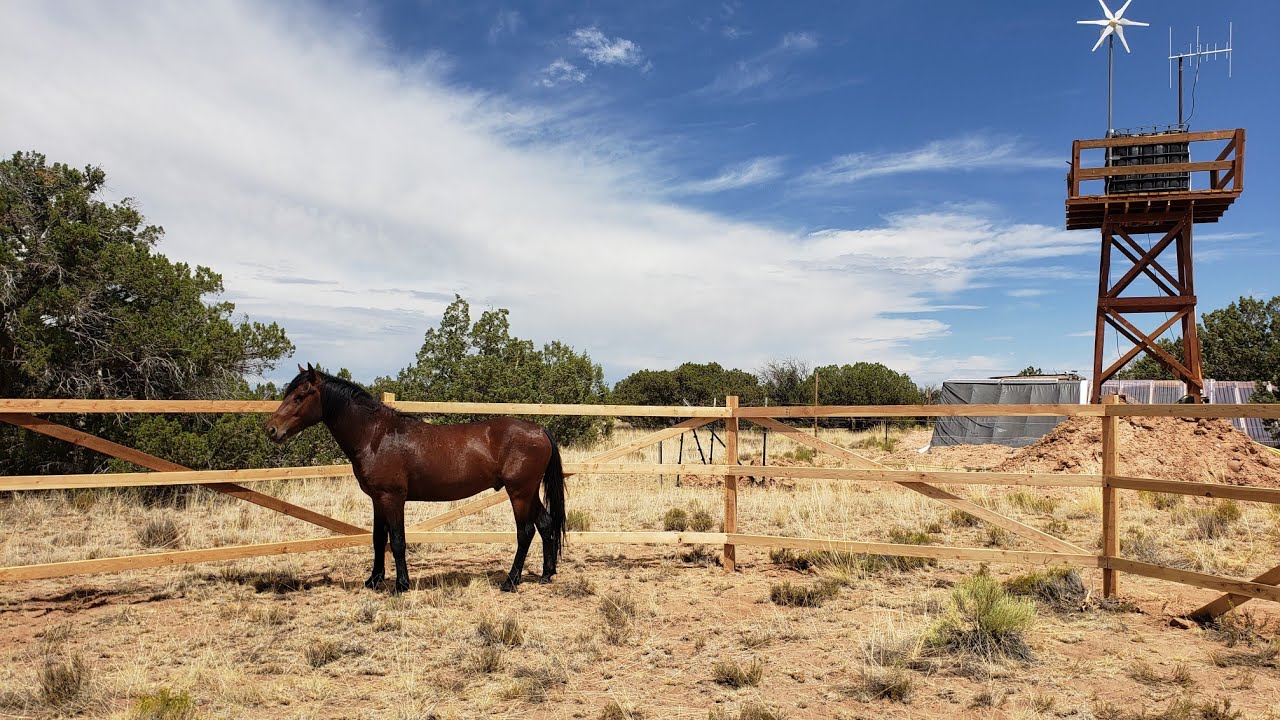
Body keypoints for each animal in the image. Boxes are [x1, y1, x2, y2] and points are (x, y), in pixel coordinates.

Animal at [263, 364, 566, 593]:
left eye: (300, 396)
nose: (272, 430)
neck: (376, 436)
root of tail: (539, 429)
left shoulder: (393, 498)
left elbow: (397, 540)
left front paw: (401, 585)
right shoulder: (378, 500)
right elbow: (378, 538)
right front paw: (373, 580)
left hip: (519, 493)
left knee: (525, 532)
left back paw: (510, 581)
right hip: (529, 492)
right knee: (546, 524)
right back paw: (546, 574)